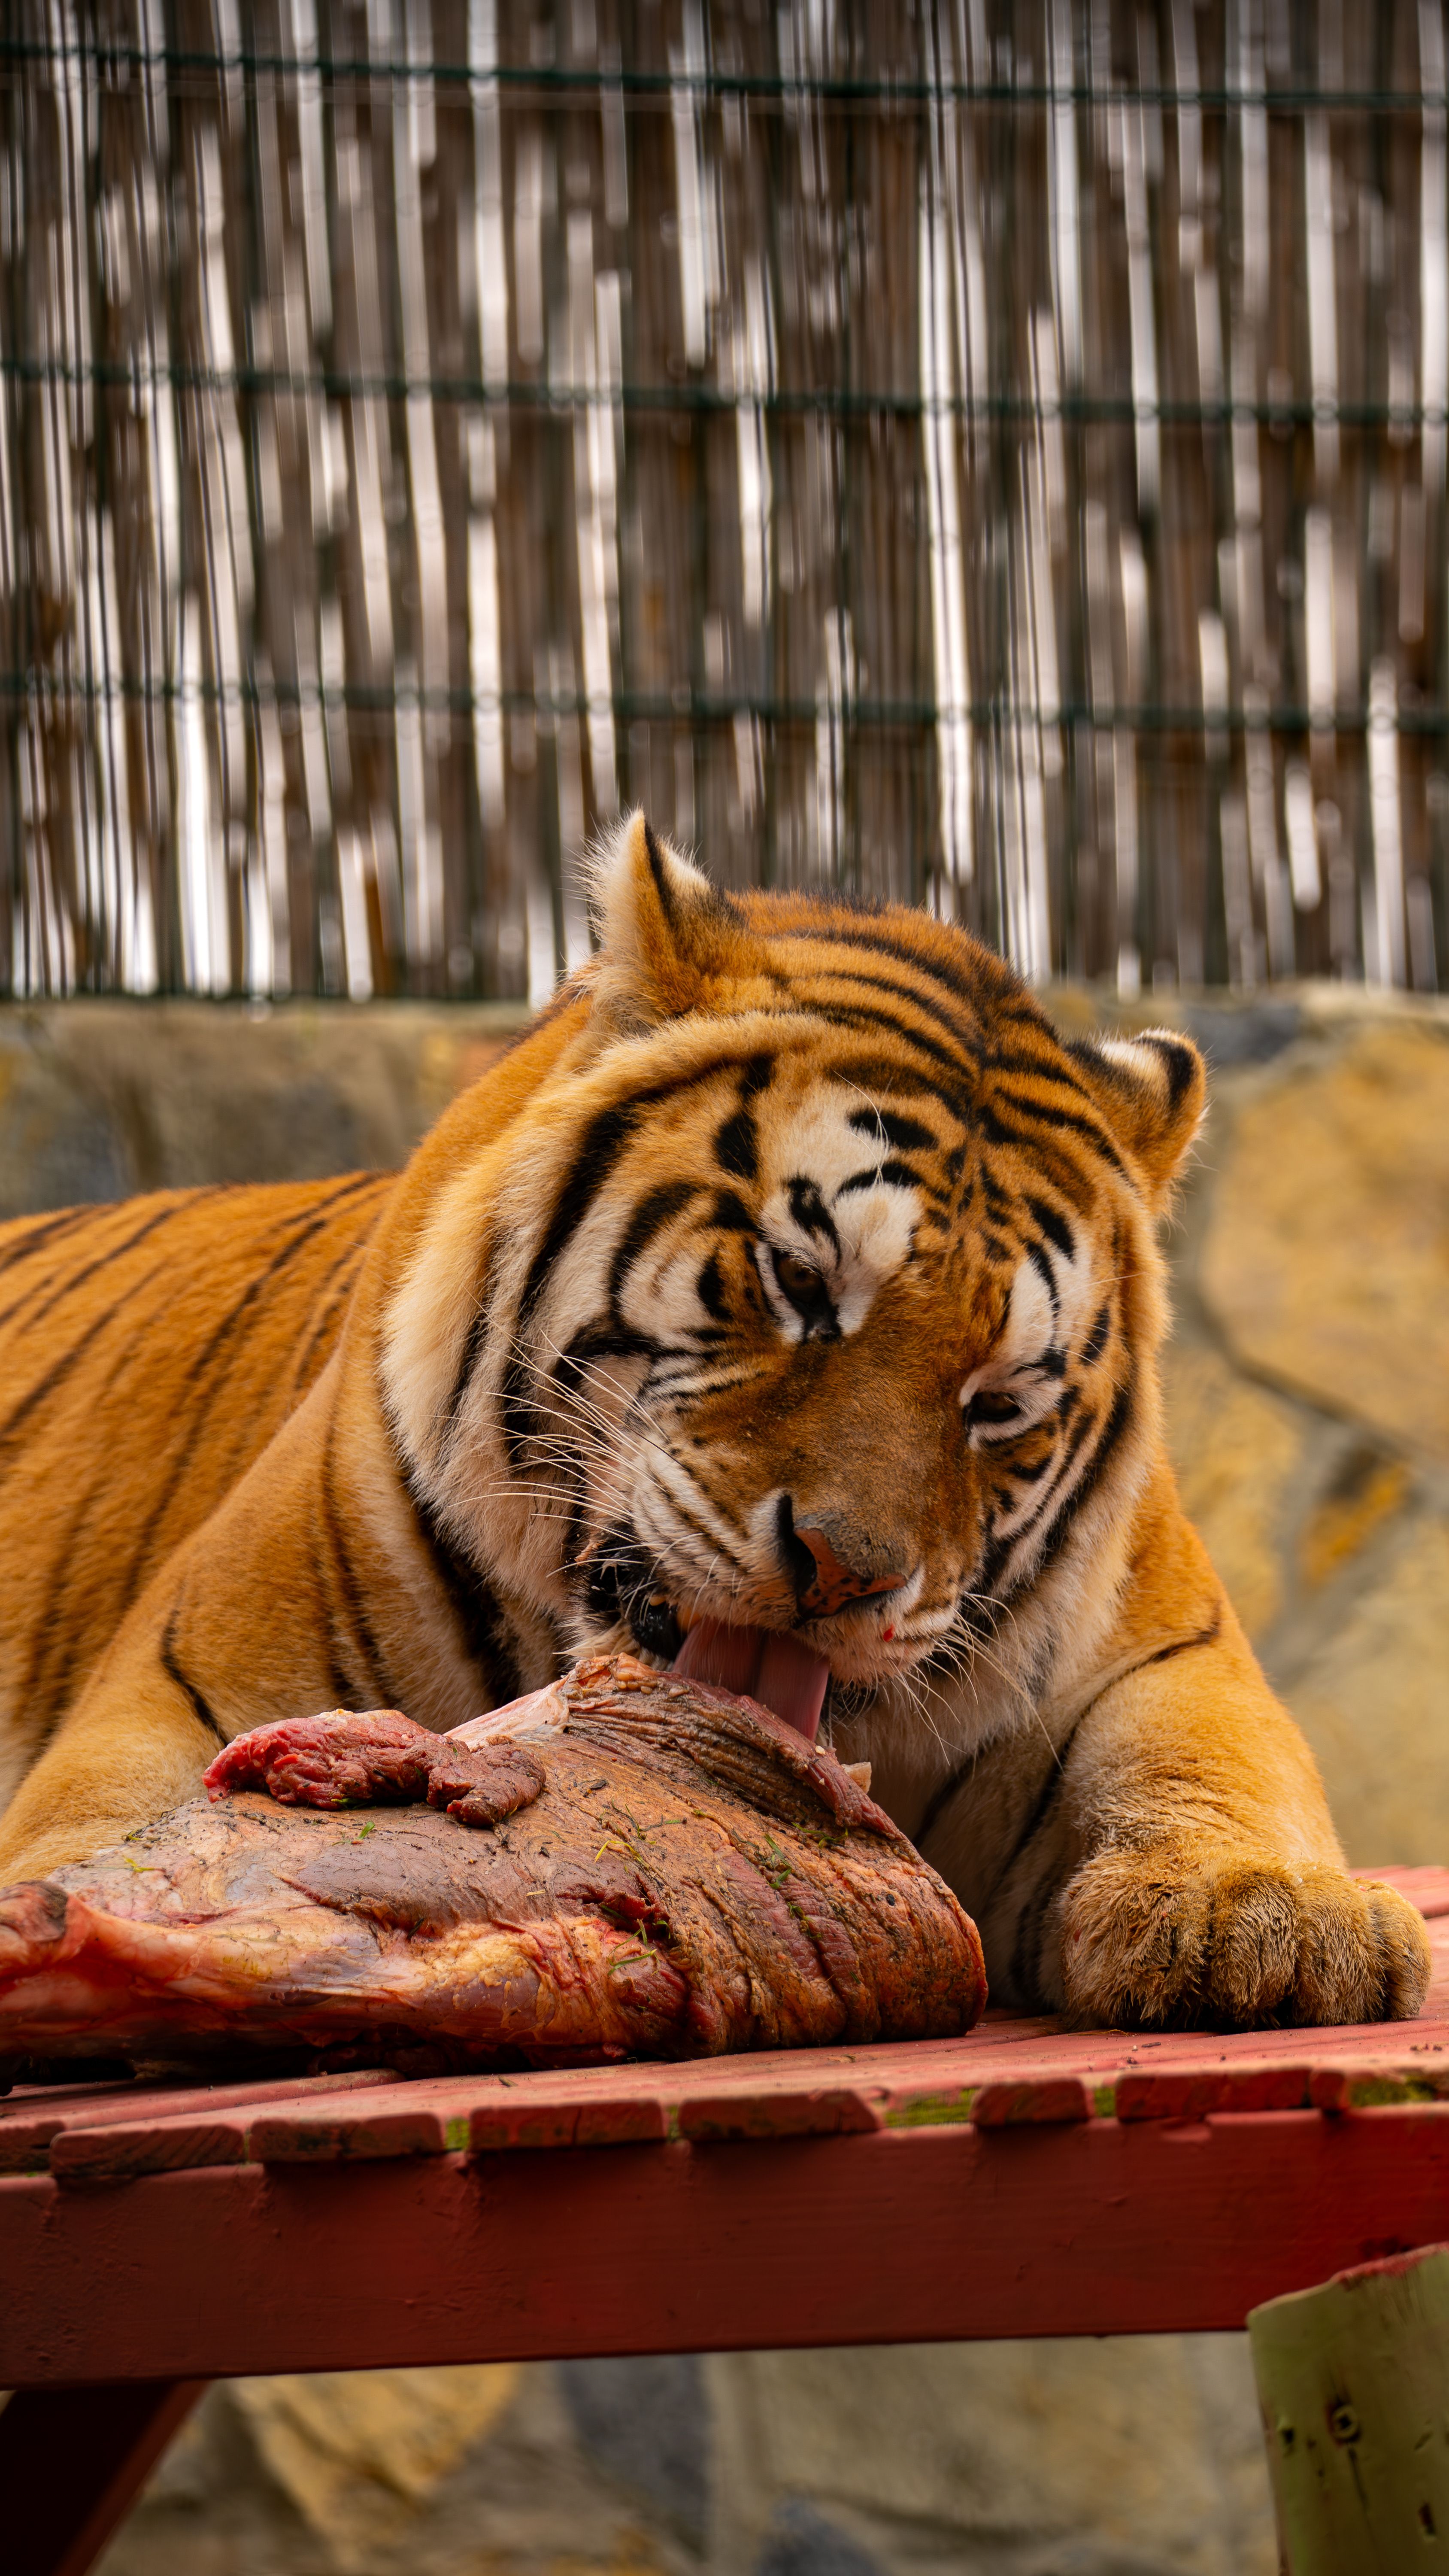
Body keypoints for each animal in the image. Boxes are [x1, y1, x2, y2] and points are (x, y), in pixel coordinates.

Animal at [0, 813, 1429, 2030]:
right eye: (800, 1282)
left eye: (998, 1403)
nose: (847, 1572)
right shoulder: (187, 1691)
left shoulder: (1162, 1649)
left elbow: (1209, 1764)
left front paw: (1269, 1917)